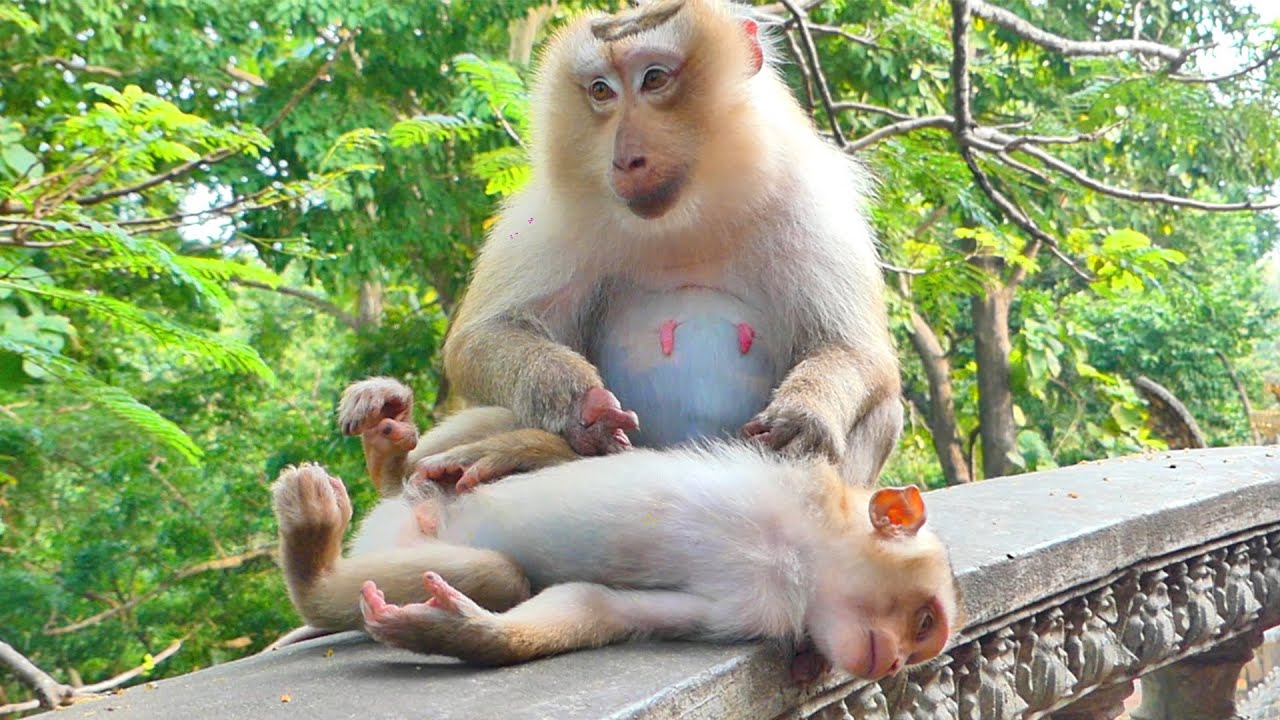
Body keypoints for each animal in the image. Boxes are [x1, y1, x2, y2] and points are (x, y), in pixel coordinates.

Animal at [271, 442, 959, 679]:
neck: (803, 564)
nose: (895, 661)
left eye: (918, 644)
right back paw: (314, 569)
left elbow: (597, 603)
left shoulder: (749, 609)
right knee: (500, 568)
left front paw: (463, 632)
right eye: (925, 622)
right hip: (402, 525)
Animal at [346, 0, 903, 495]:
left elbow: (854, 350)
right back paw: (405, 457)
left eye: (653, 79)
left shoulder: (812, 204)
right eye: (601, 90)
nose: (625, 160)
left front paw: (805, 415)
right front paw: (580, 409)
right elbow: (484, 337)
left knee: (885, 406)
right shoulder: (554, 214)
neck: (688, 215)